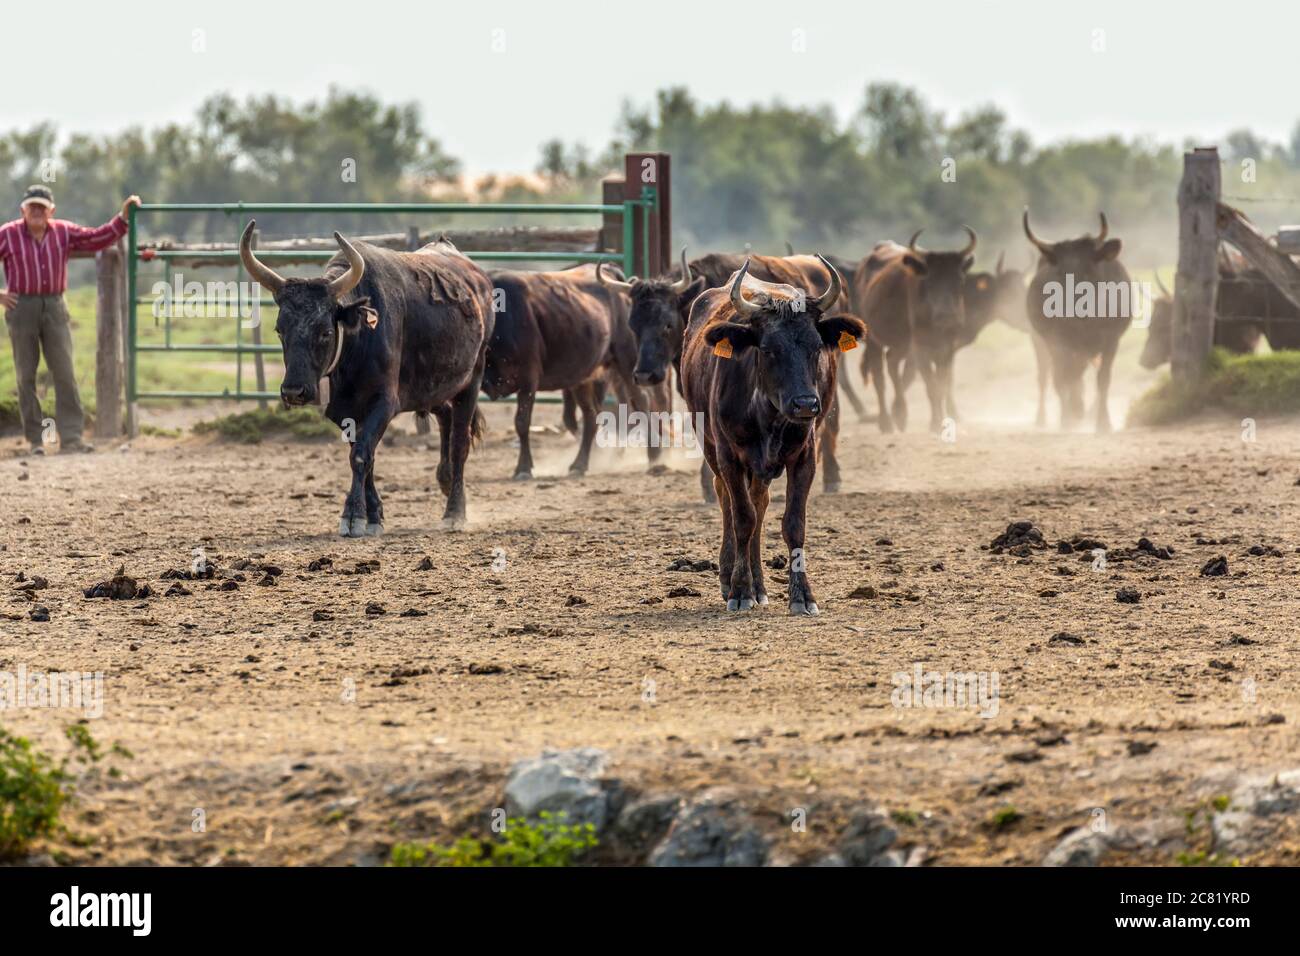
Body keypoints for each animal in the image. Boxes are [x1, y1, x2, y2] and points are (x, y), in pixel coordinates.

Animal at [239, 222, 493, 535]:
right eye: (279, 329)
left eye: (325, 331)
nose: (294, 391)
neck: (358, 342)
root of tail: (477, 279)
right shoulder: (343, 411)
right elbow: (364, 455)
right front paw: (374, 515)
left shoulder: (384, 402)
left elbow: (361, 455)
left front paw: (353, 516)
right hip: (433, 386)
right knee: (445, 416)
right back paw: (444, 479)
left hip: (471, 379)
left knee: (460, 442)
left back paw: (455, 511)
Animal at [482, 264, 660, 479]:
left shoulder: (528, 380)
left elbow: (522, 423)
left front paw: (523, 467)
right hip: (582, 377)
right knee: (591, 416)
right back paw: (580, 463)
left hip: (627, 362)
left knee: (641, 400)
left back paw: (654, 454)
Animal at [681, 257, 865, 615]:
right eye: (768, 349)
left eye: (816, 346)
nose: (806, 403)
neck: (768, 415)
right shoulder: (728, 455)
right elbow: (742, 518)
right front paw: (739, 590)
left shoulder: (805, 457)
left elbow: (793, 524)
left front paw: (802, 596)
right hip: (711, 447)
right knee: (727, 500)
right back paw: (731, 577)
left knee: (760, 502)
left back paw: (760, 585)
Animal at [854, 228, 978, 433]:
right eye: (930, 281)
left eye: (960, 280)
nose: (946, 315)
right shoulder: (921, 348)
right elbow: (931, 384)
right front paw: (935, 423)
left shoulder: (947, 349)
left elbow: (941, 384)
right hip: (874, 339)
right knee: (880, 377)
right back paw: (886, 422)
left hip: (902, 345)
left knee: (893, 363)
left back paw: (900, 414)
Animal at [1023, 211, 1132, 432]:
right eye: (1059, 273)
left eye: (1088, 270)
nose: (1069, 309)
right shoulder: (1058, 342)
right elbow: (1063, 377)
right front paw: (1069, 417)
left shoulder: (1112, 340)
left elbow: (1103, 379)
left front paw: (1103, 423)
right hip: (1040, 342)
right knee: (1048, 376)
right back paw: (1050, 417)